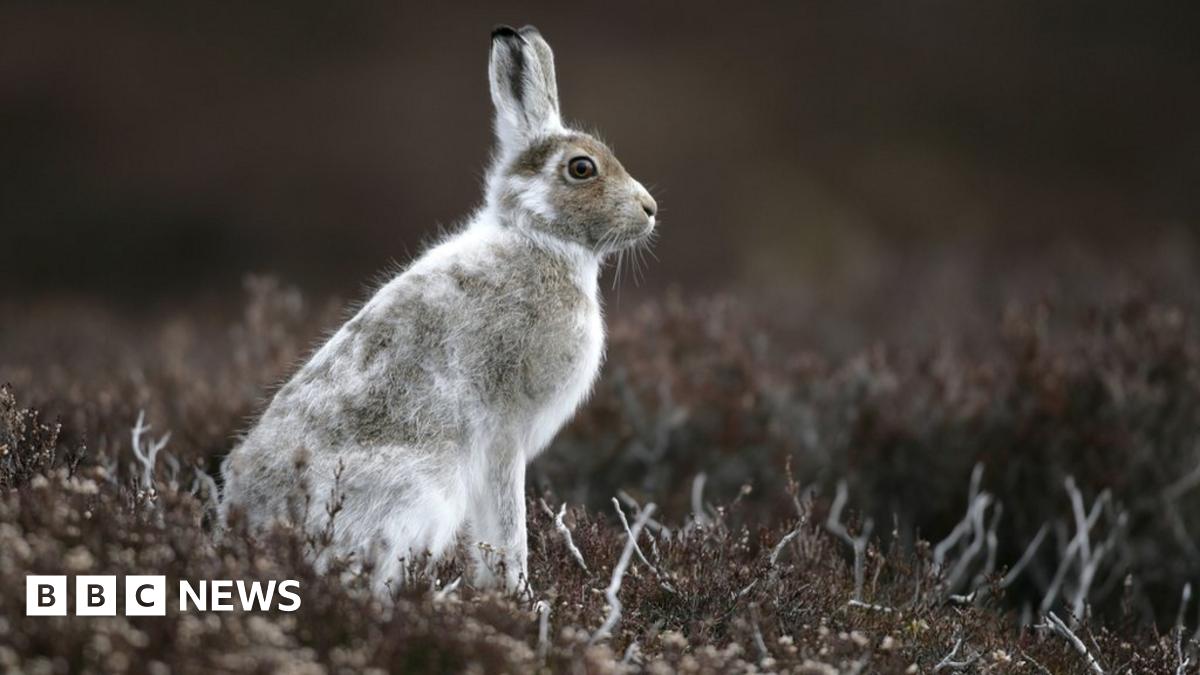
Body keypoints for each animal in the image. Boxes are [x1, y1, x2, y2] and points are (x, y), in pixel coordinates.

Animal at [220, 24, 658, 593]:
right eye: (581, 168)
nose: (650, 209)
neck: (537, 238)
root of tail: (252, 526)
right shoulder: (504, 433)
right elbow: (507, 524)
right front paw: (519, 595)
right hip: (421, 489)